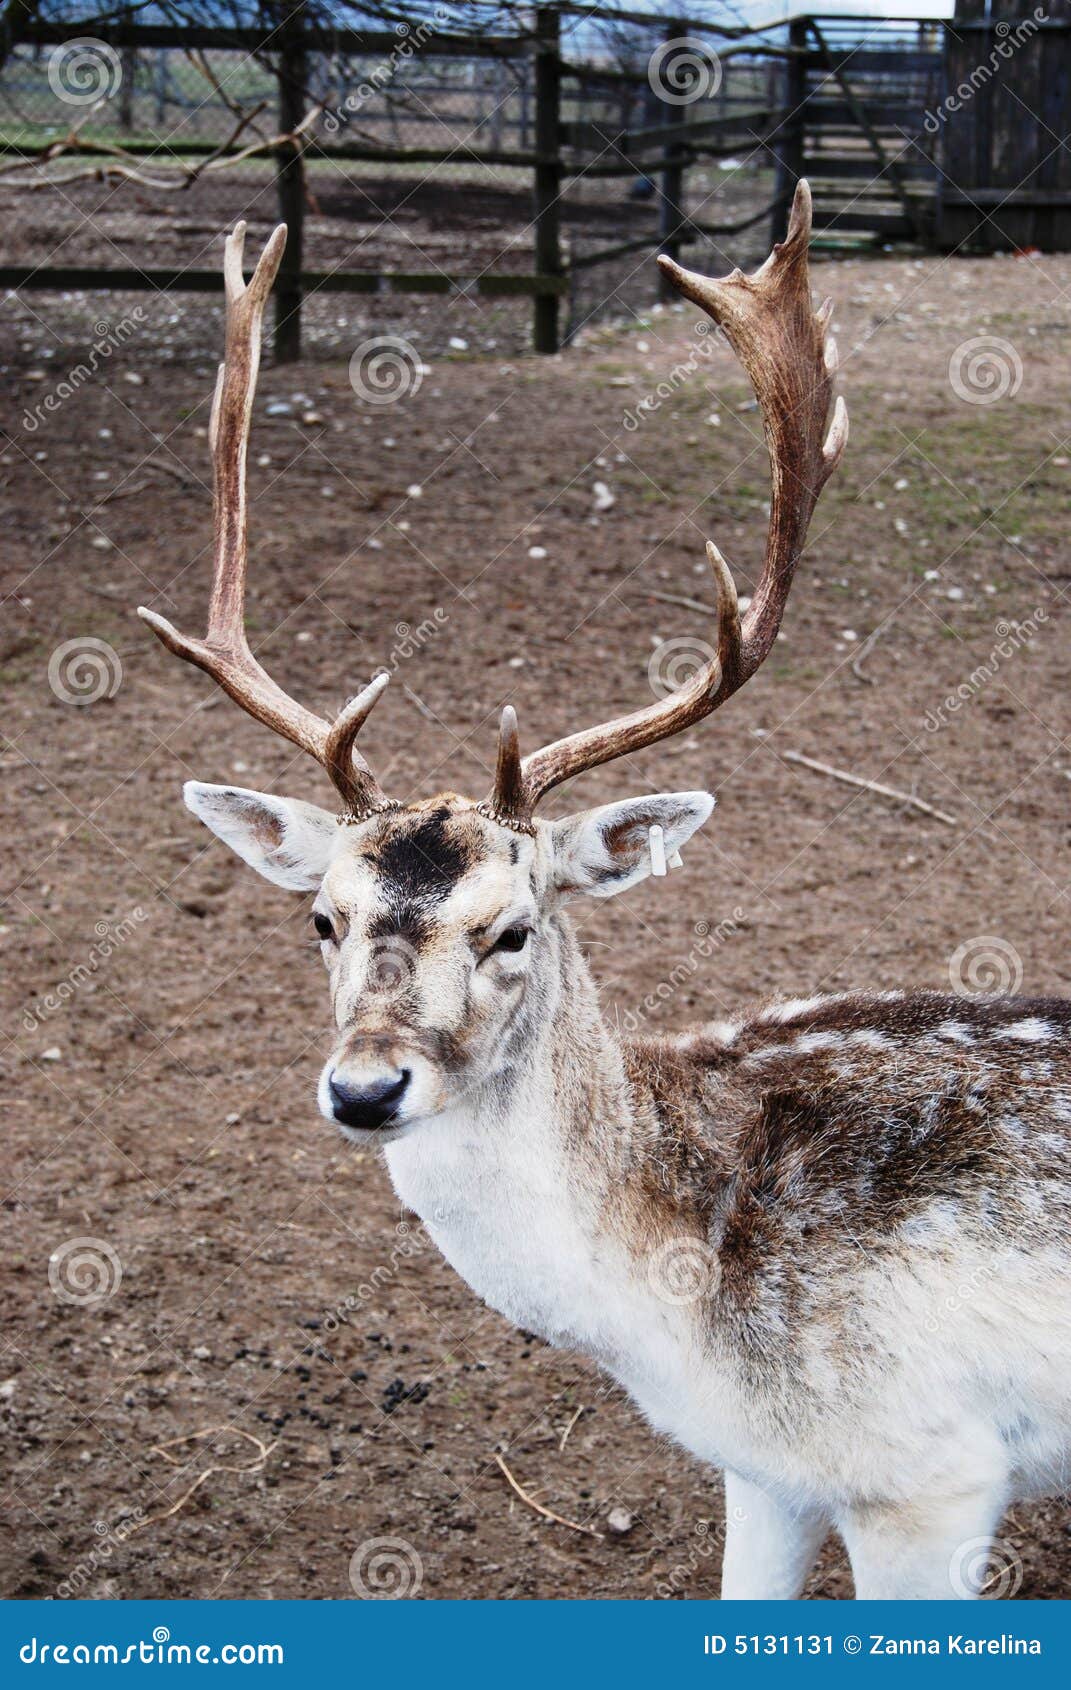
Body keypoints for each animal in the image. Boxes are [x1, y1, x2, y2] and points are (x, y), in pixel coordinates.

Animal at [138, 184, 1071, 1601]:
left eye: (514, 927)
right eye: (322, 918)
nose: (365, 1088)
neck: (676, 1315)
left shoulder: (929, 1477)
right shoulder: (767, 1470)